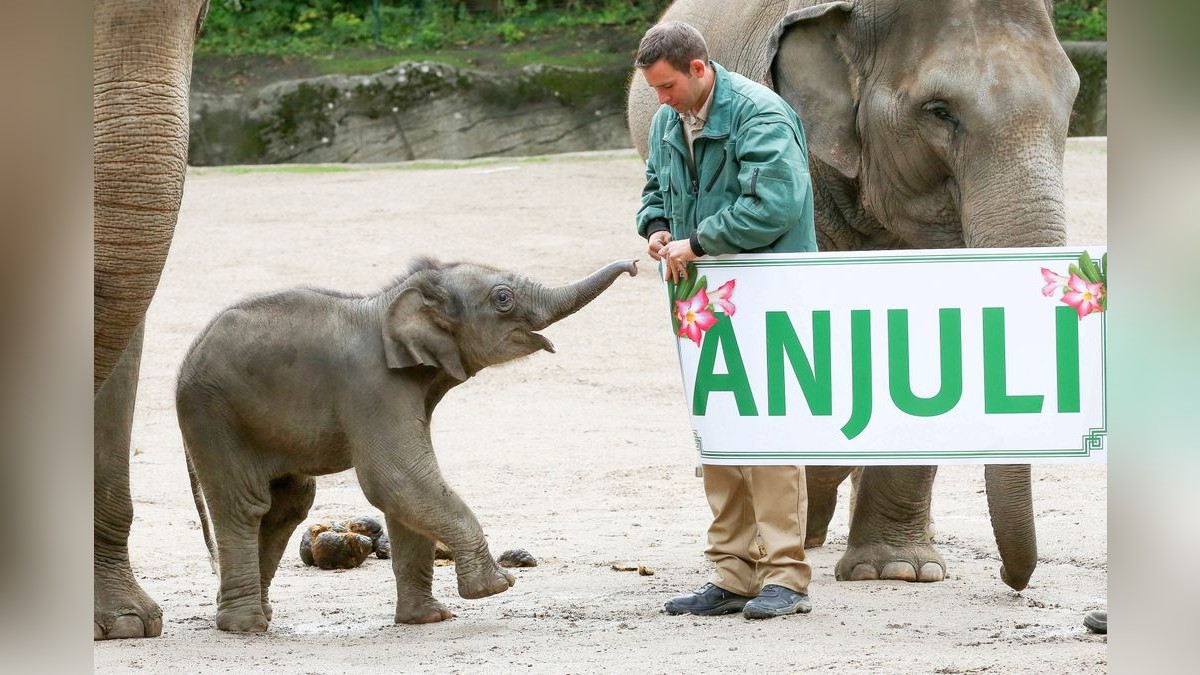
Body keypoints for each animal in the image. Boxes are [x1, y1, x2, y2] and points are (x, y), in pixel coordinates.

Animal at [175, 257, 638, 631]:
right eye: (503, 298)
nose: (634, 266)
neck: (393, 302)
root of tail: (185, 361)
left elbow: (404, 493)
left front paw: (429, 619)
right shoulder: (374, 388)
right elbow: (396, 480)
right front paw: (497, 586)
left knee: (288, 505)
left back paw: (259, 614)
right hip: (213, 415)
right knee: (245, 505)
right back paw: (246, 626)